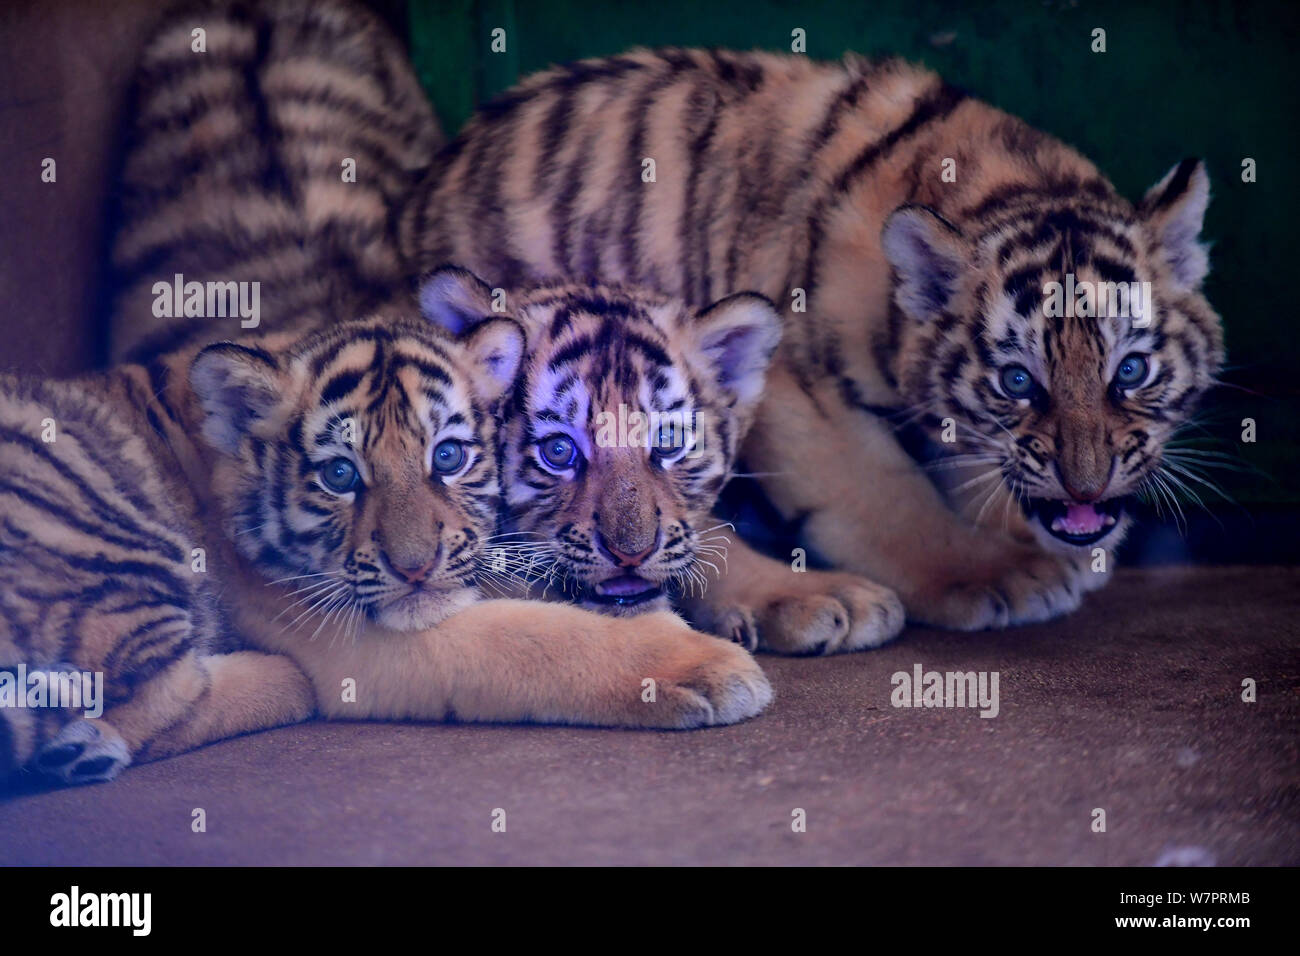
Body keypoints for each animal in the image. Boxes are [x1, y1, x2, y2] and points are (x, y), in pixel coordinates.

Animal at [4, 306, 771, 787]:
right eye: (340, 475)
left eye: (449, 456)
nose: (415, 568)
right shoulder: (358, 643)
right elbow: (535, 636)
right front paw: (704, 665)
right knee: (167, 690)